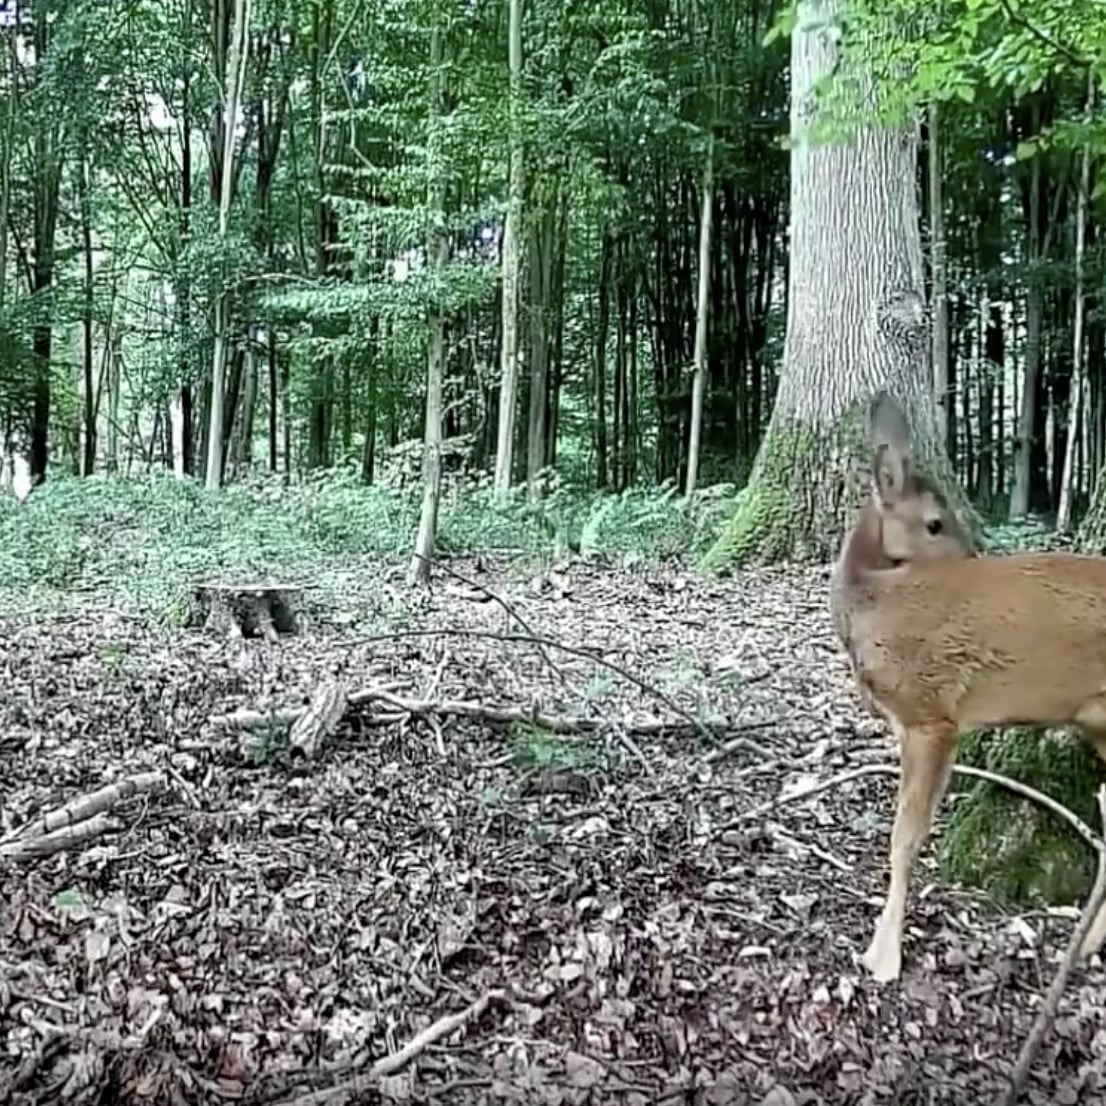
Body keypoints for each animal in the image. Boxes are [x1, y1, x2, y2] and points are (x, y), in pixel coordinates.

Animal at [831, 392, 1106, 983]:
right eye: (935, 523)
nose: (973, 556)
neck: (873, 602)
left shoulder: (930, 713)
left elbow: (905, 839)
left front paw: (883, 956)